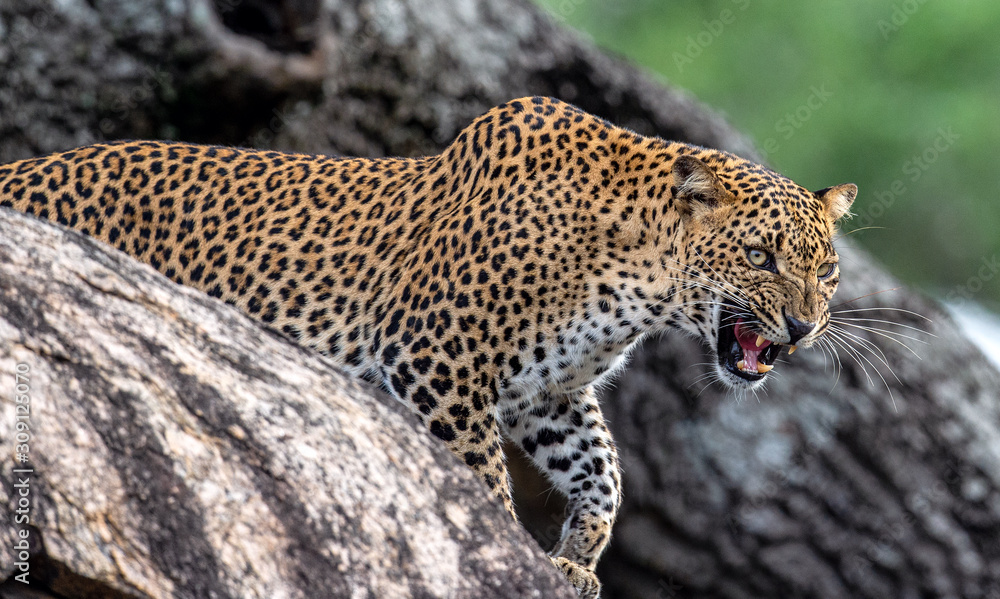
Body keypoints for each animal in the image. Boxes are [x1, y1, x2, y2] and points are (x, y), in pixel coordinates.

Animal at [0, 96, 856, 598]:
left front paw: (576, 558)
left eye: (826, 269)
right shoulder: (437, 356)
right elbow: (480, 478)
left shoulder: (547, 392)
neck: (639, 280)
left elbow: (603, 469)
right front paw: (509, 556)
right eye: (760, 257)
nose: (804, 326)